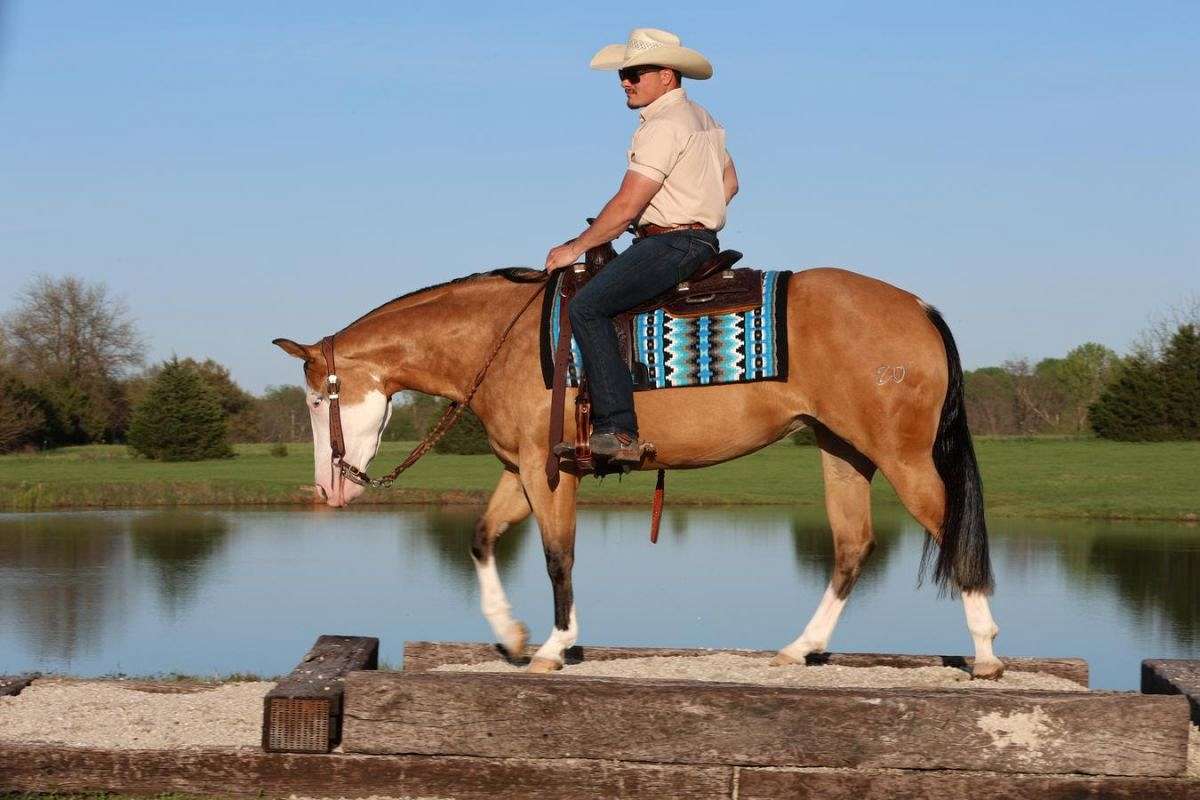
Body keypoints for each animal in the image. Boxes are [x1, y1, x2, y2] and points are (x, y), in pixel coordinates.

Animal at [273, 265, 1003, 677]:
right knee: (854, 546)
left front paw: (554, 646)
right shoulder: (520, 470)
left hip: (901, 457)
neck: (500, 341)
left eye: (314, 399)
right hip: (841, 450)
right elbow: (481, 538)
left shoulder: (549, 473)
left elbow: (559, 557)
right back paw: (801, 648)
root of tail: (919, 308)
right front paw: (511, 634)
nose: (328, 488)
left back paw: (987, 655)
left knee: (952, 531)